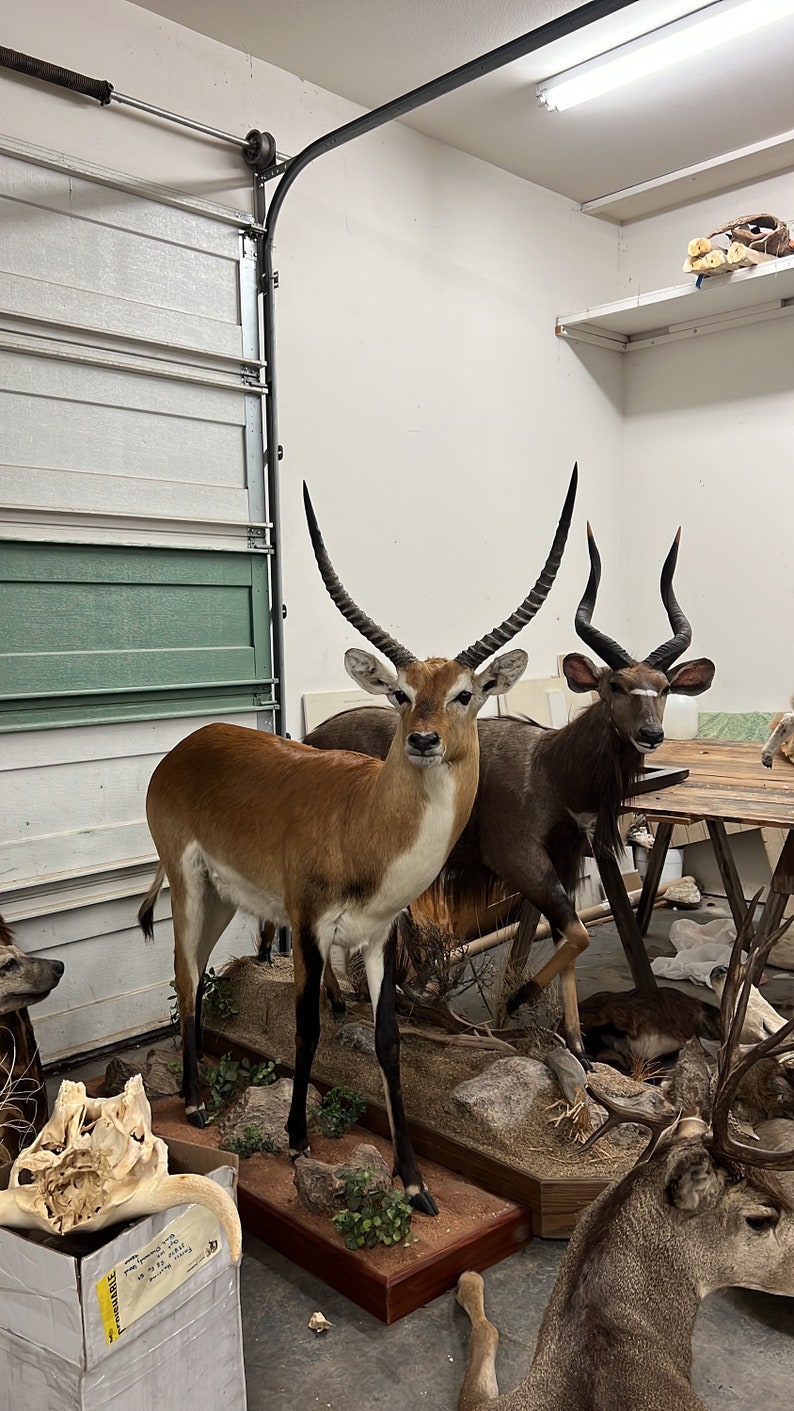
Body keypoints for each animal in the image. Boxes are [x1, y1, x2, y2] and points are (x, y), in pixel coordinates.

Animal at [138, 470, 577, 1214]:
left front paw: (416, 1181)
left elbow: (388, 1040)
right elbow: (308, 1023)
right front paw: (296, 1140)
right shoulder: (310, 926)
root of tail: (189, 743)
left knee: (195, 974)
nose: (424, 739)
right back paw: (195, 1103)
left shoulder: (379, 934)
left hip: (226, 897)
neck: (364, 821)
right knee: (185, 973)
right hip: (188, 885)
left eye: (464, 693)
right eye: (400, 692)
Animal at [305, 524, 715, 1061]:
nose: (651, 734)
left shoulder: (564, 863)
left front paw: (576, 1044)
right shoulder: (518, 860)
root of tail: (308, 737)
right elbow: (578, 934)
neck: (551, 766)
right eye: (615, 685)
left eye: (664, 687)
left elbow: (569, 940)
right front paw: (517, 1001)